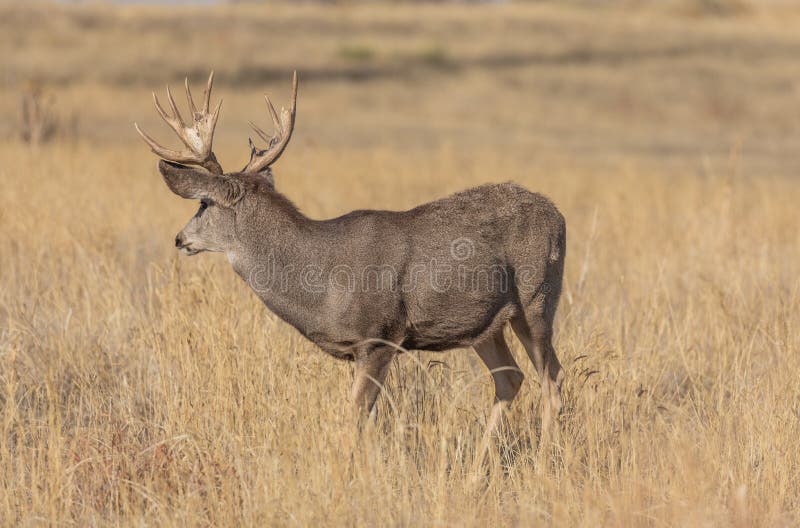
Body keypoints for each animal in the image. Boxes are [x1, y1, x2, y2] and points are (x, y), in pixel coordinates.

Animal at [135, 71, 566, 473]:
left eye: (203, 203)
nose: (179, 238)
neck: (322, 281)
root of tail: (559, 215)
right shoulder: (358, 350)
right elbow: (366, 422)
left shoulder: (380, 336)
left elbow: (353, 420)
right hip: (486, 325)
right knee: (510, 378)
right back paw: (476, 473)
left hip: (537, 300)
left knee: (552, 380)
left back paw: (543, 466)